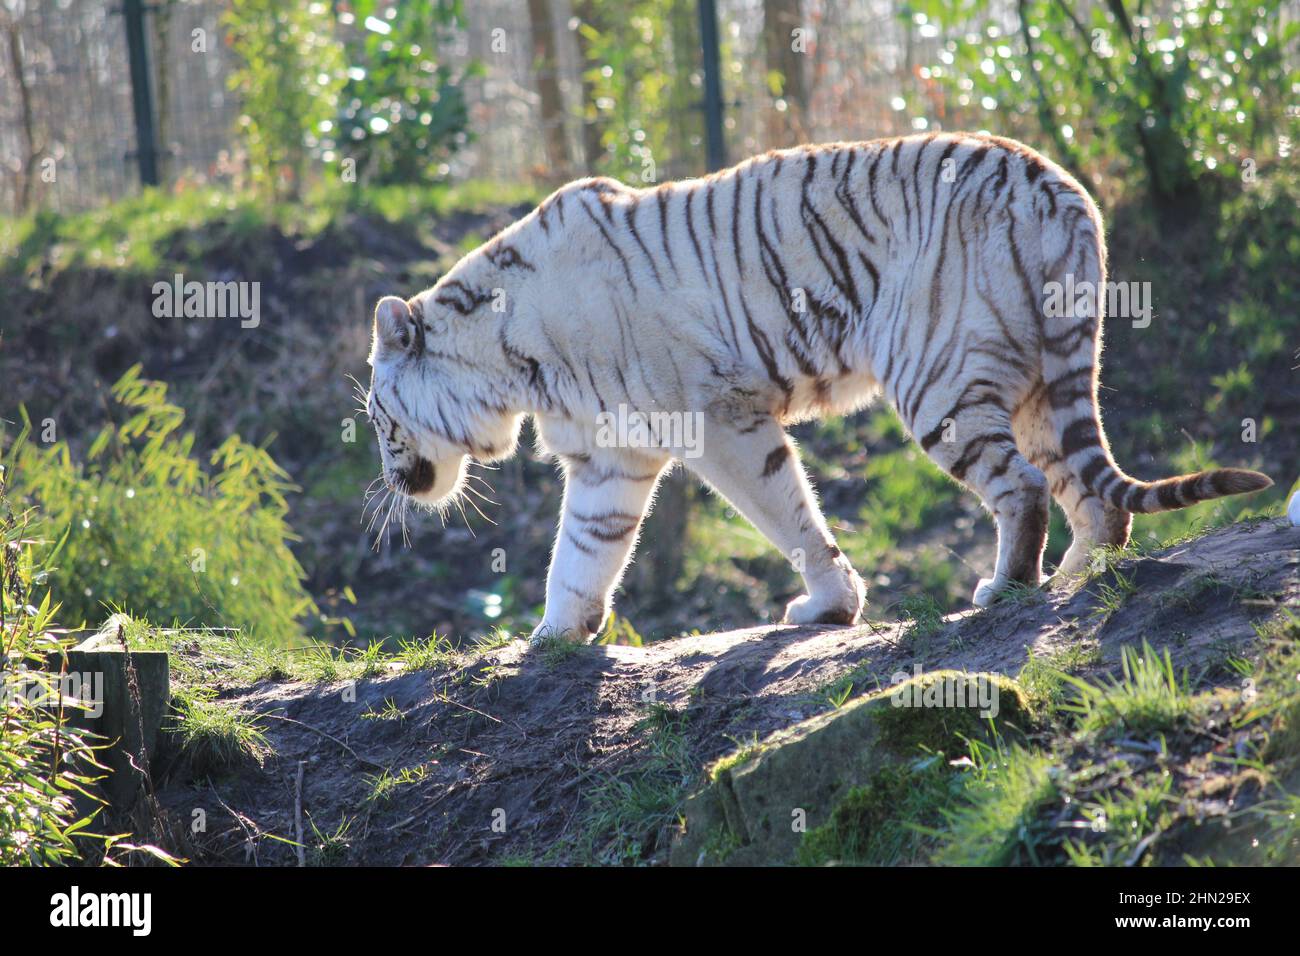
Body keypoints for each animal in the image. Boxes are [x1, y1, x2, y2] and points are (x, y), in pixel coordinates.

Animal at [364, 132, 1271, 643]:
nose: (392, 479)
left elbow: (787, 514)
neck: (505, 365)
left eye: (377, 420)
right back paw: (1081, 577)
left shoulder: (717, 422)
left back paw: (1006, 587)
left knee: (1021, 486)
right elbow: (583, 550)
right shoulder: (607, 459)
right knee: (1094, 498)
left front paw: (829, 609)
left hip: (939, 381)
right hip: (1040, 387)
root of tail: (1057, 185)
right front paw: (554, 635)